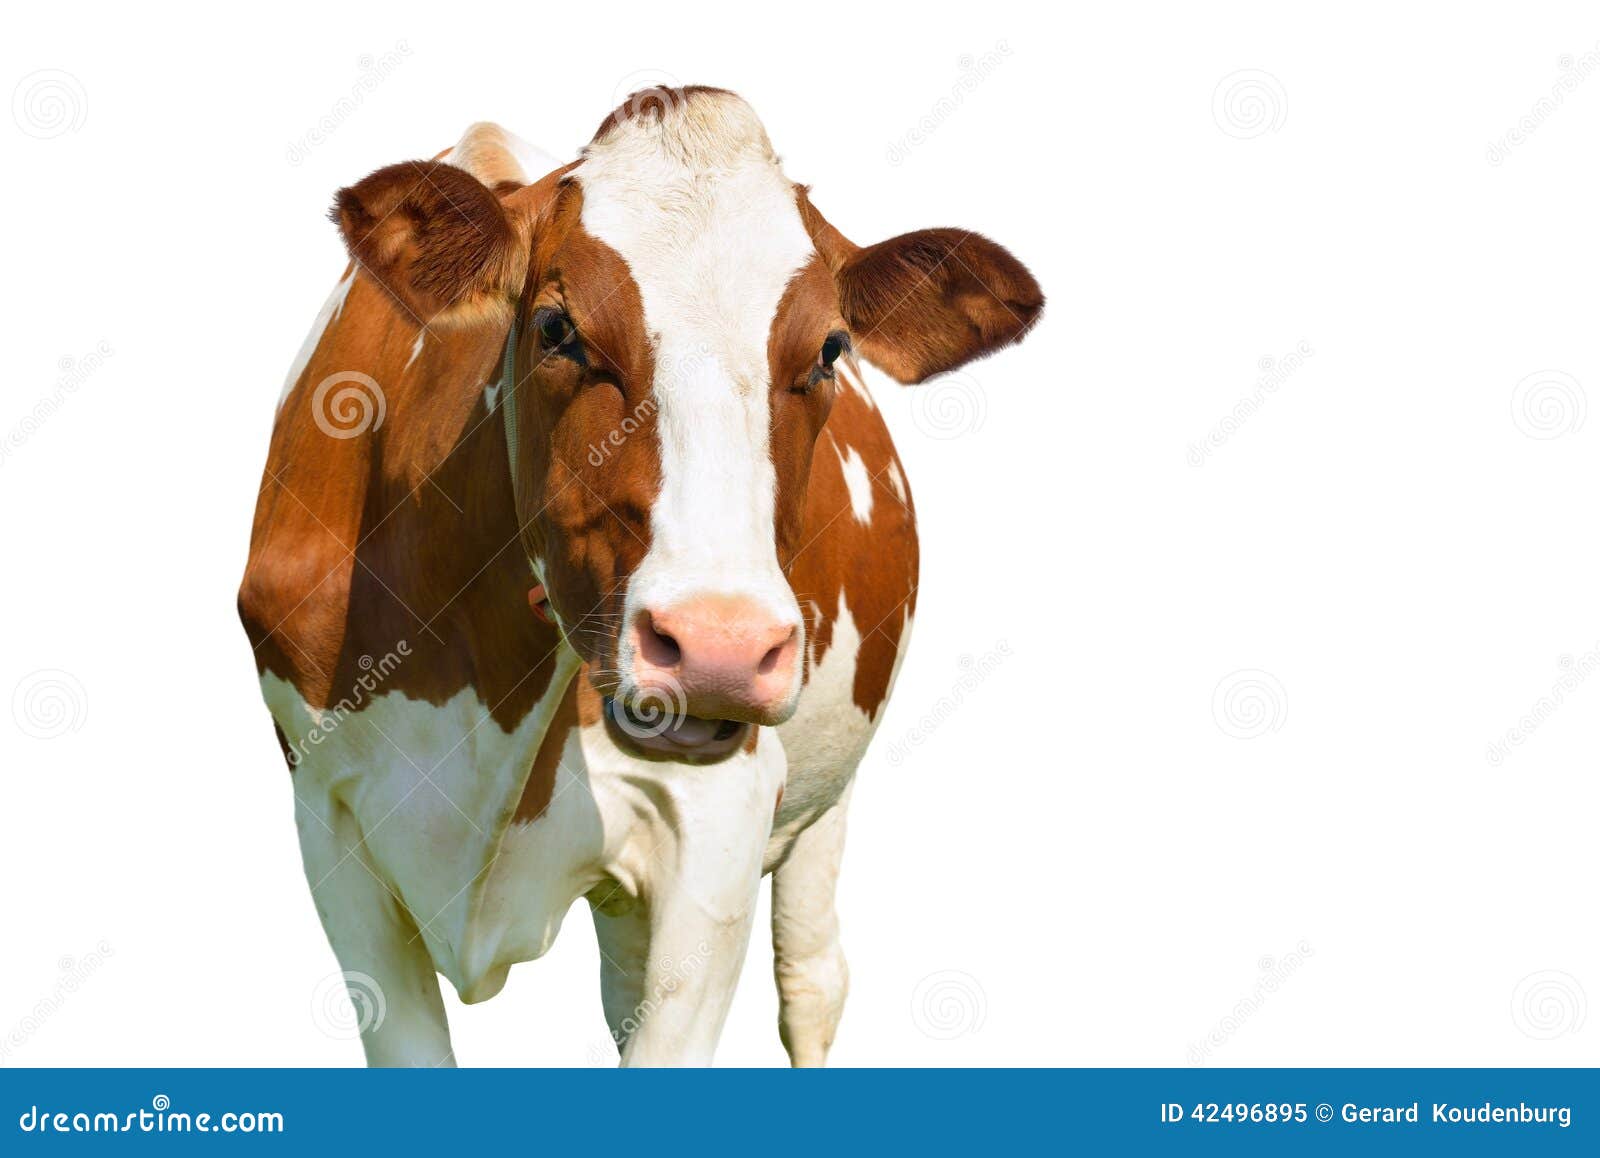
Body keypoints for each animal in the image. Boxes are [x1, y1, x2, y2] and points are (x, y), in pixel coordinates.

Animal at [238, 86, 1042, 1066]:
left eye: (830, 349)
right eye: (557, 329)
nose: (719, 649)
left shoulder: (722, 824)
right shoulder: (330, 823)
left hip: (825, 798)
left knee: (812, 987)